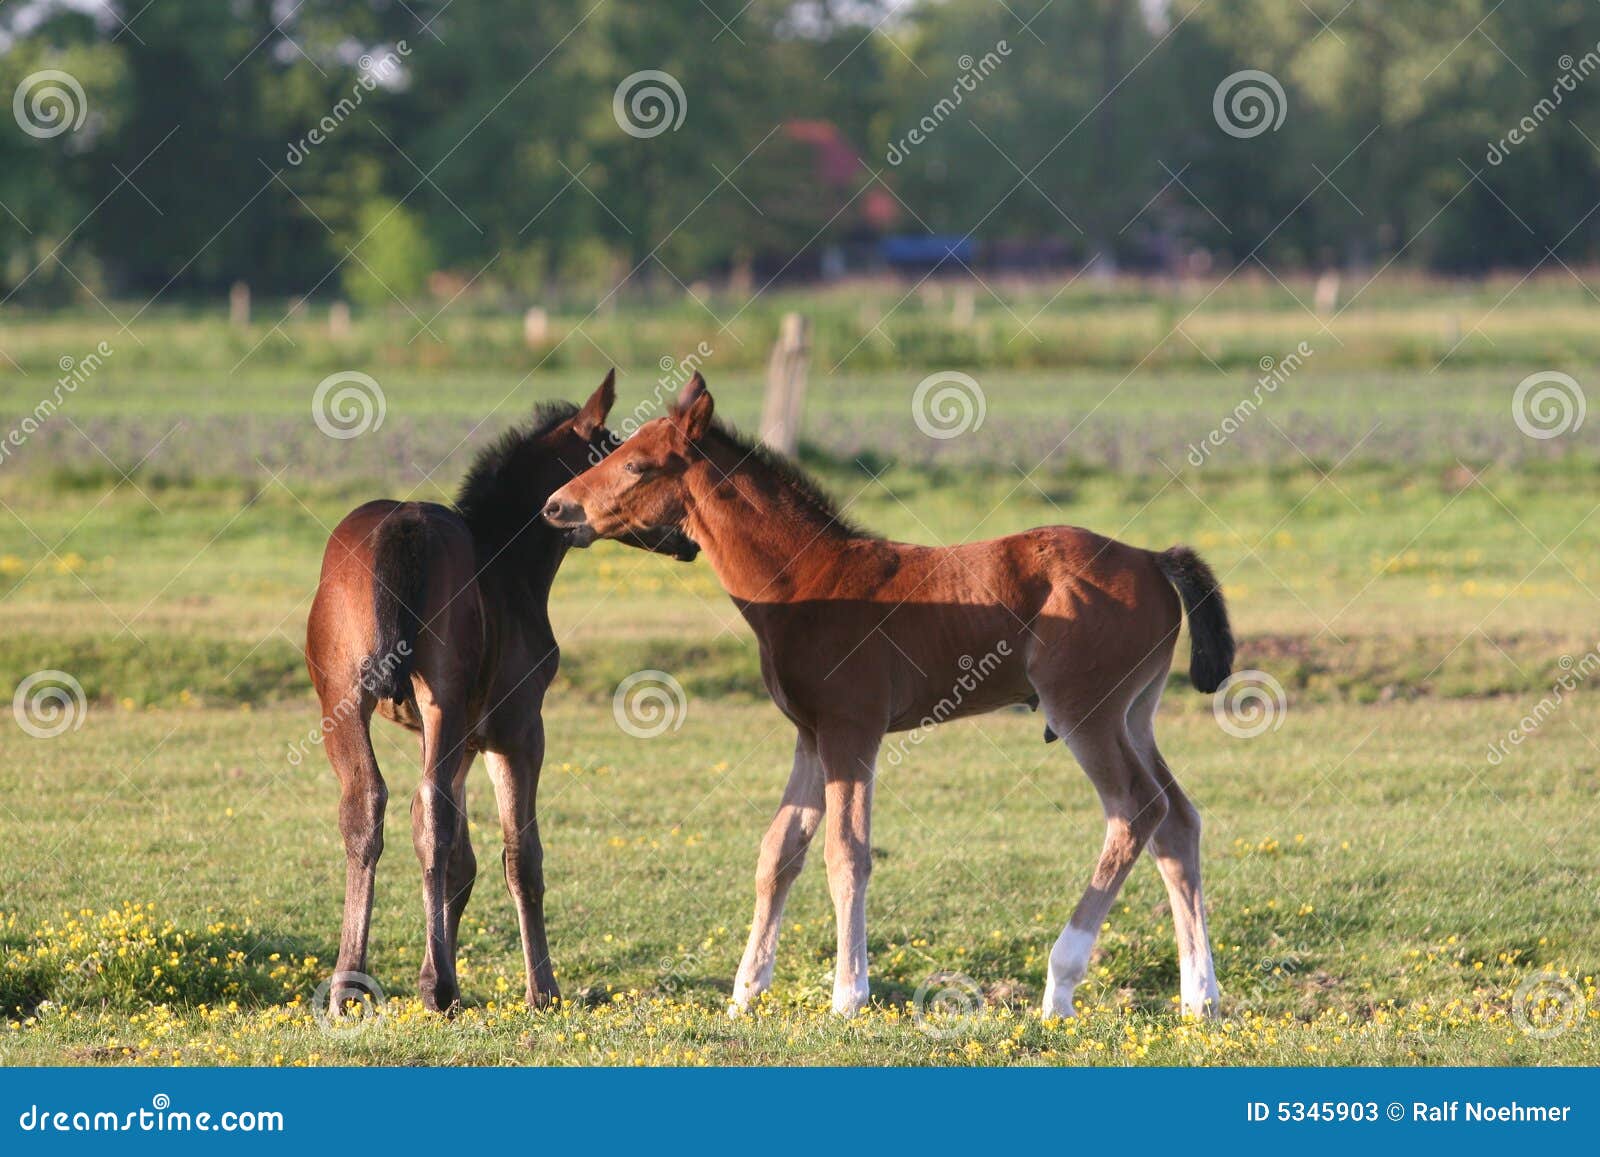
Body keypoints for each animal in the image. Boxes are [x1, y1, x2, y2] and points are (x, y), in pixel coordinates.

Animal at [304, 373, 698, 1014]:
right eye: (623, 458)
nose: (687, 538)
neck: (505, 563)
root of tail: (401, 528)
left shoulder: (459, 737)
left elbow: (459, 861)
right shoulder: (515, 730)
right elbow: (520, 856)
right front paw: (542, 989)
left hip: (342, 700)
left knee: (368, 809)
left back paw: (348, 988)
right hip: (442, 700)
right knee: (433, 818)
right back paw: (436, 988)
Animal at [541, 374, 1235, 1020]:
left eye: (635, 464)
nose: (555, 507)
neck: (807, 581)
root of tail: (1151, 558)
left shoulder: (852, 730)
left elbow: (845, 854)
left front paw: (849, 994)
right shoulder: (811, 735)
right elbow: (778, 852)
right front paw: (745, 994)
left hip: (1085, 712)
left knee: (1137, 811)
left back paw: (1060, 985)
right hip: (1135, 713)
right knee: (1178, 821)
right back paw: (1199, 996)